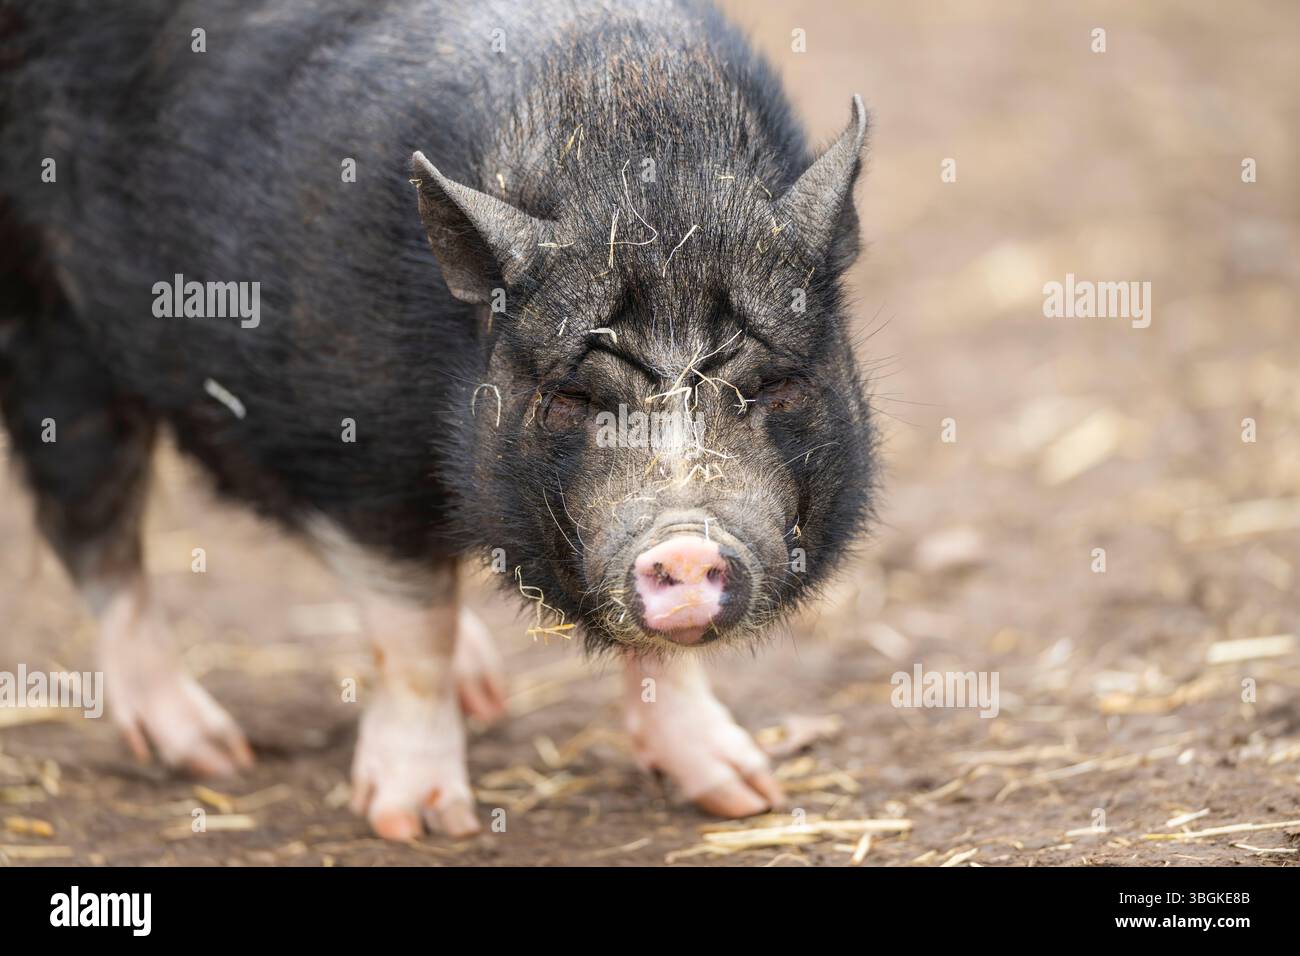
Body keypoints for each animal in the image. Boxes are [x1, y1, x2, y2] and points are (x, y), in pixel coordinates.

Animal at [0, 0, 876, 839]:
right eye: (572, 397)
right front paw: (419, 823)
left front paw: (747, 796)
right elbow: (414, 628)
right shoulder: (349, 446)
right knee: (92, 527)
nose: (688, 545)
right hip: (49, 327)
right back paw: (213, 755)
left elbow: (660, 660)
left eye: (774, 384)